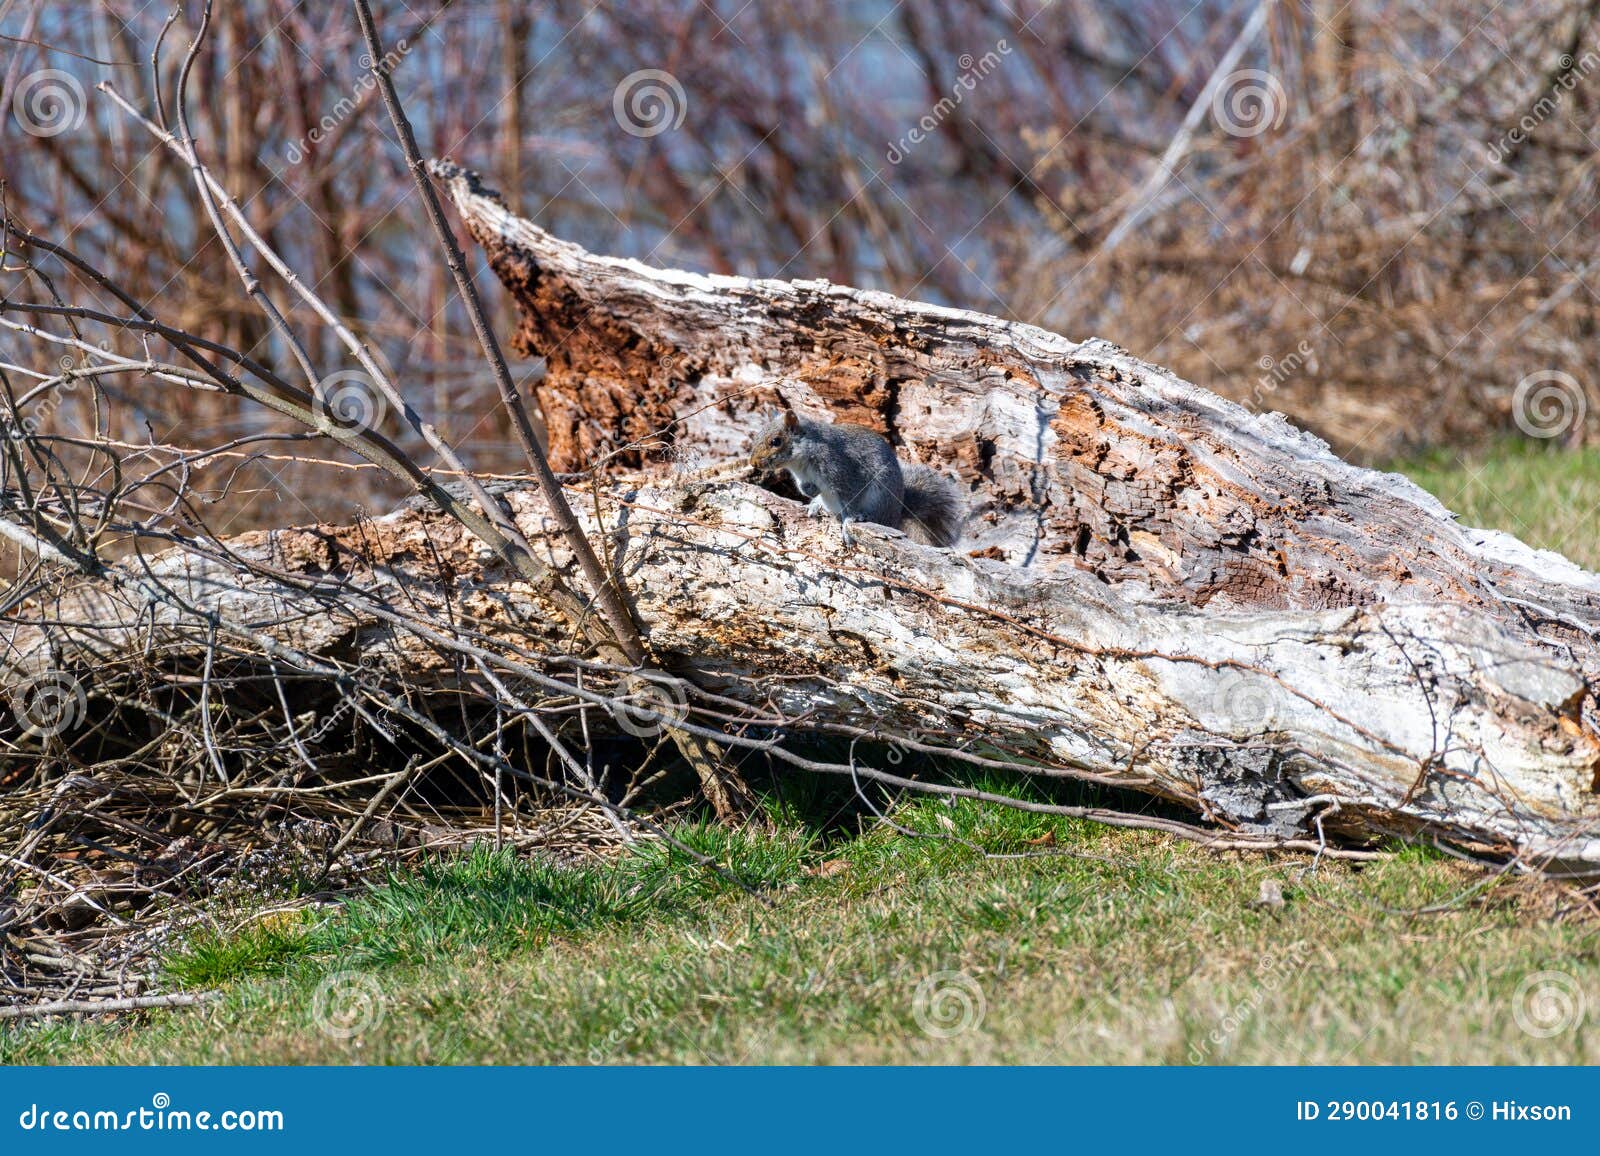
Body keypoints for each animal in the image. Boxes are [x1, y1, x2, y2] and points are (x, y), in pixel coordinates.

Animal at [748, 409, 965, 547]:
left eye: (776, 441)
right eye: (757, 435)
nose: (754, 462)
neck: (799, 462)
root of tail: (896, 515)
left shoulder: (844, 474)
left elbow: (850, 502)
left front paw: (848, 524)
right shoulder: (801, 476)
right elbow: (804, 487)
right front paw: (812, 493)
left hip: (879, 500)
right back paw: (817, 505)